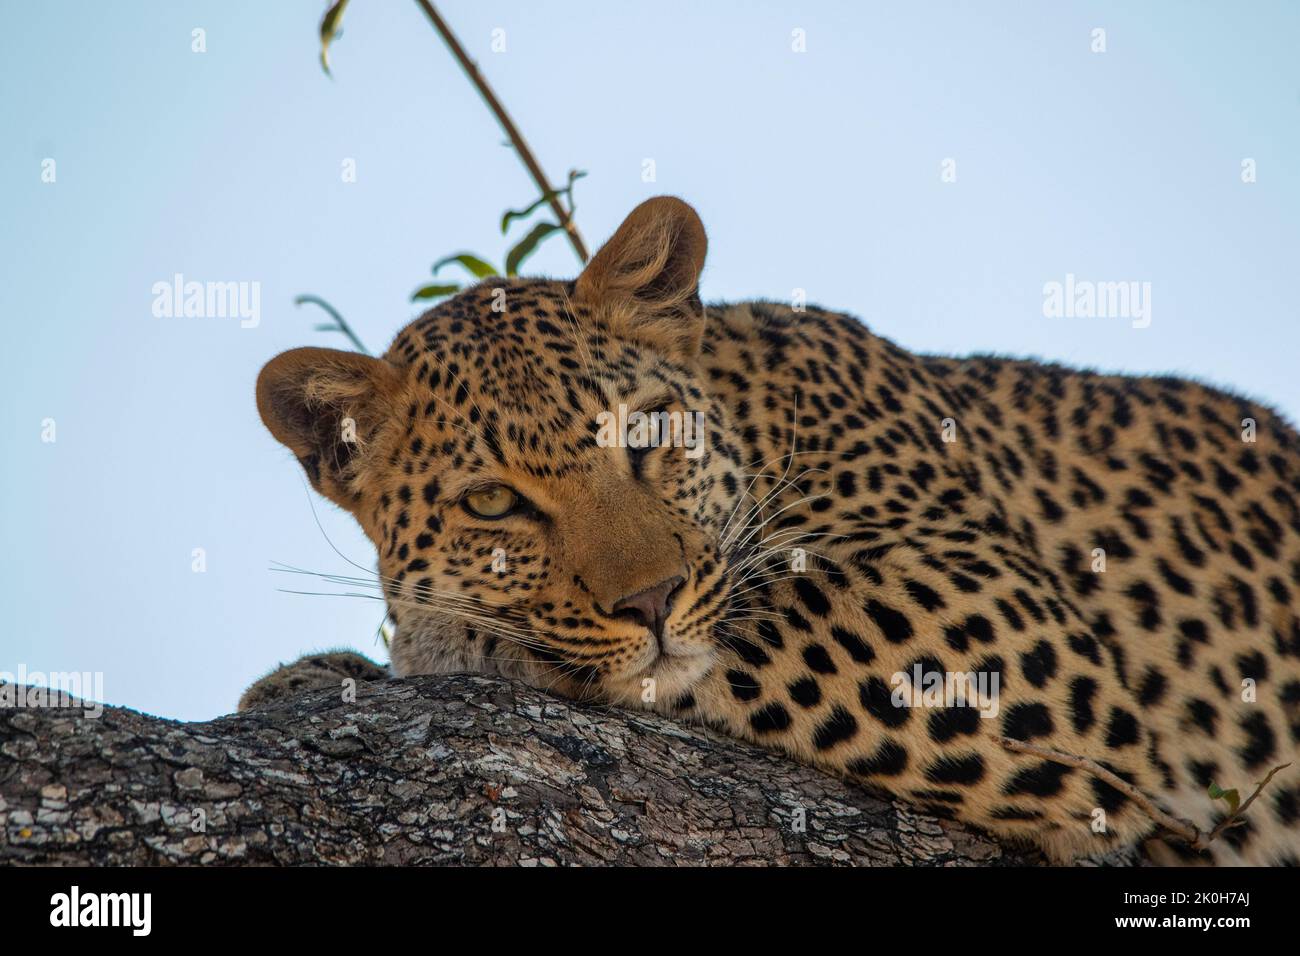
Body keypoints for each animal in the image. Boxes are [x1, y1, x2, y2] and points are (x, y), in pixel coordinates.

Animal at [246, 196, 1300, 864]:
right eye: (494, 504)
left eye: (644, 434)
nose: (651, 600)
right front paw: (317, 676)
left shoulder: (1007, 623)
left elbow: (751, 623)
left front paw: (432, 645)